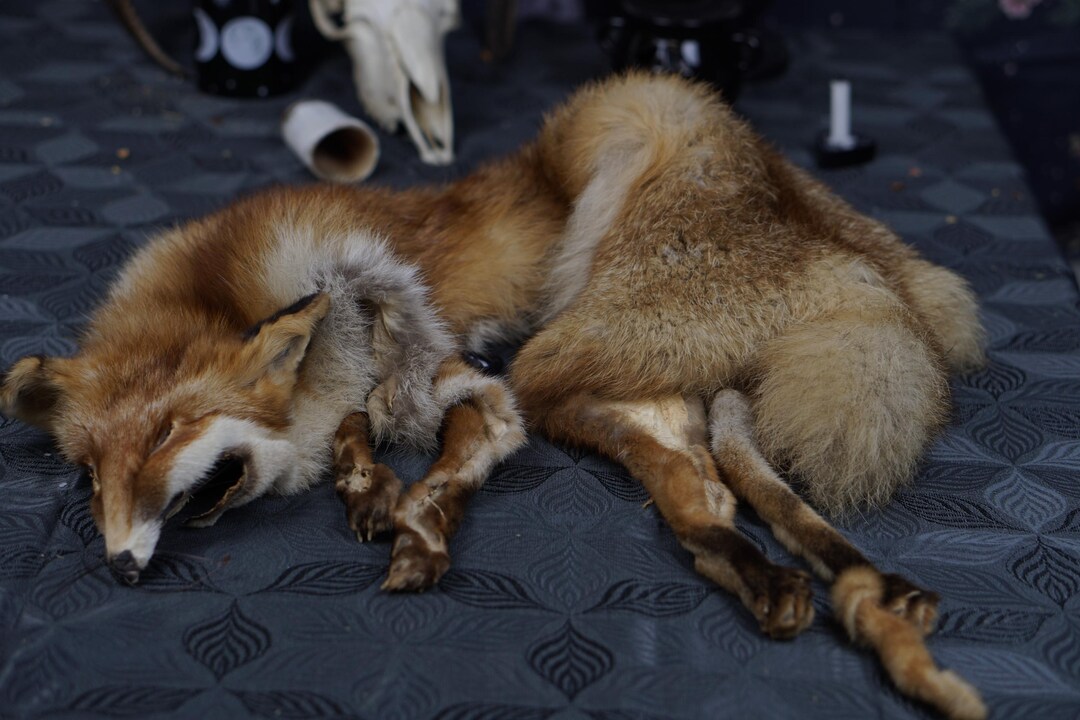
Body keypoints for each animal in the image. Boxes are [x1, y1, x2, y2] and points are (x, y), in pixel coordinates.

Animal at [1, 73, 986, 720]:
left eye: (171, 432)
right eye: (87, 475)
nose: (121, 566)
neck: (225, 288)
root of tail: (871, 265)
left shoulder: (448, 365)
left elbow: (457, 448)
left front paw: (421, 525)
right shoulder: (381, 384)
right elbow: (364, 436)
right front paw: (370, 493)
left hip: (575, 295)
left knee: (719, 480)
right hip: (644, 396)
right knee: (716, 489)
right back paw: (858, 603)